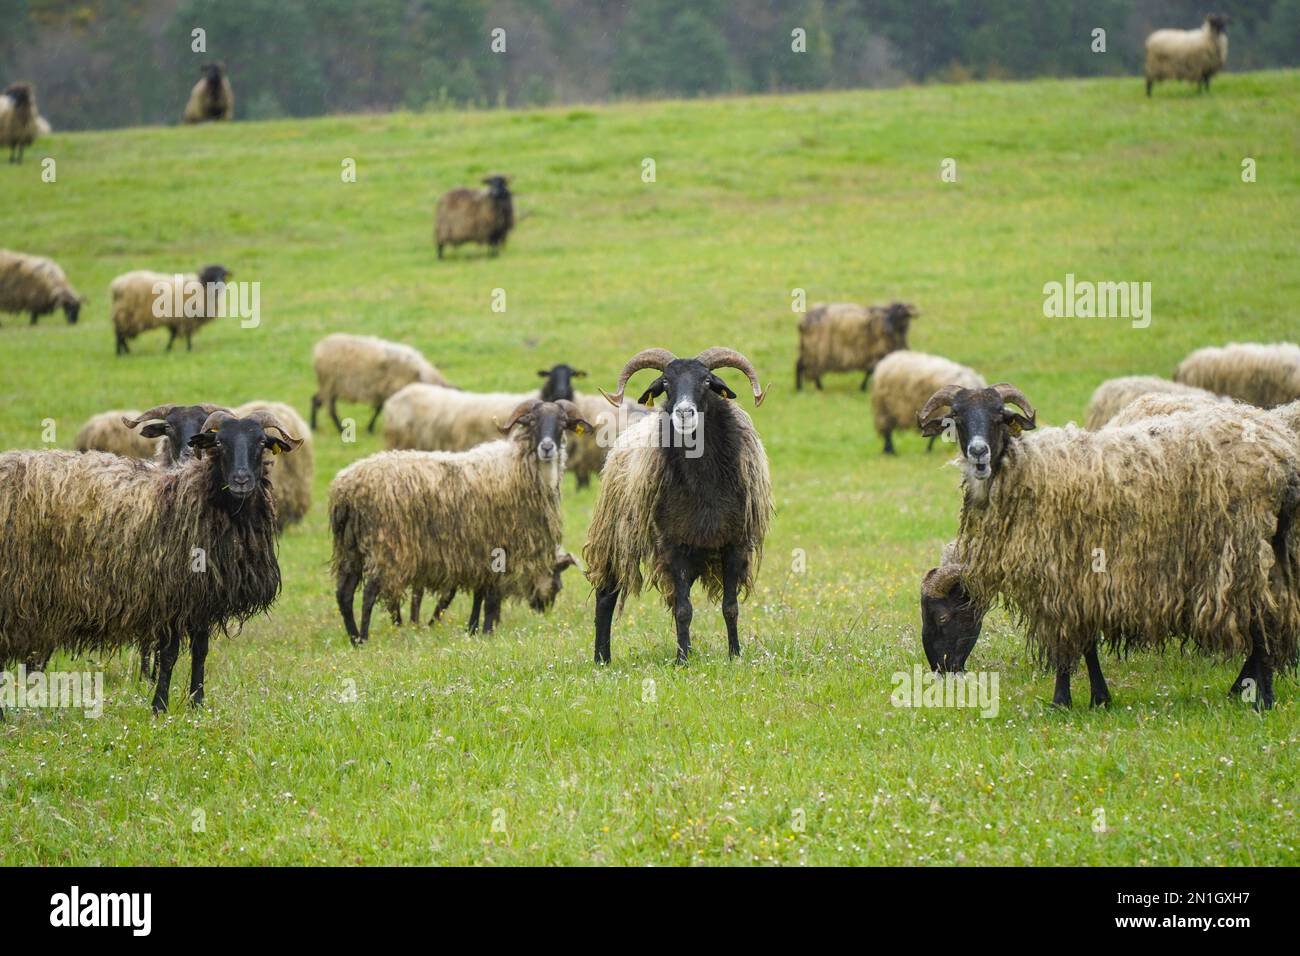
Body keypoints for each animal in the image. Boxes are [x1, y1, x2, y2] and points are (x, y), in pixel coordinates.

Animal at [0, 409, 303, 712]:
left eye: (262, 443)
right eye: (219, 443)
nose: (241, 480)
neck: (191, 496)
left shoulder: (203, 598)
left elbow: (200, 651)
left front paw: (196, 703)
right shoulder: (169, 596)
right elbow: (168, 654)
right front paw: (160, 706)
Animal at [312, 333, 450, 434]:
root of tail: (319, 348)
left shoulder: (385, 391)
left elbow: (379, 409)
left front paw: (370, 427)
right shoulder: (391, 389)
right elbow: (380, 409)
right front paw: (370, 428)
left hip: (330, 386)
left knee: (316, 399)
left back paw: (314, 426)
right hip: (329, 383)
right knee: (329, 408)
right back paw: (339, 429)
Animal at [330, 399, 591, 643]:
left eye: (562, 423)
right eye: (533, 421)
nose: (547, 448)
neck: (515, 467)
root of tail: (346, 489)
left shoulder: (479, 552)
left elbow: (480, 593)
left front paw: (473, 630)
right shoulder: (500, 545)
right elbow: (491, 596)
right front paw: (487, 631)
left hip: (349, 547)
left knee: (344, 593)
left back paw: (353, 639)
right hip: (385, 545)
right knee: (368, 593)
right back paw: (364, 638)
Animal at [585, 347, 773, 663]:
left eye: (707, 381)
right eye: (665, 383)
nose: (684, 413)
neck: (704, 483)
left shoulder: (734, 543)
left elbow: (730, 608)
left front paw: (734, 655)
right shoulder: (673, 544)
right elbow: (684, 610)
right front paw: (682, 661)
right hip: (616, 536)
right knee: (606, 595)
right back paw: (602, 659)